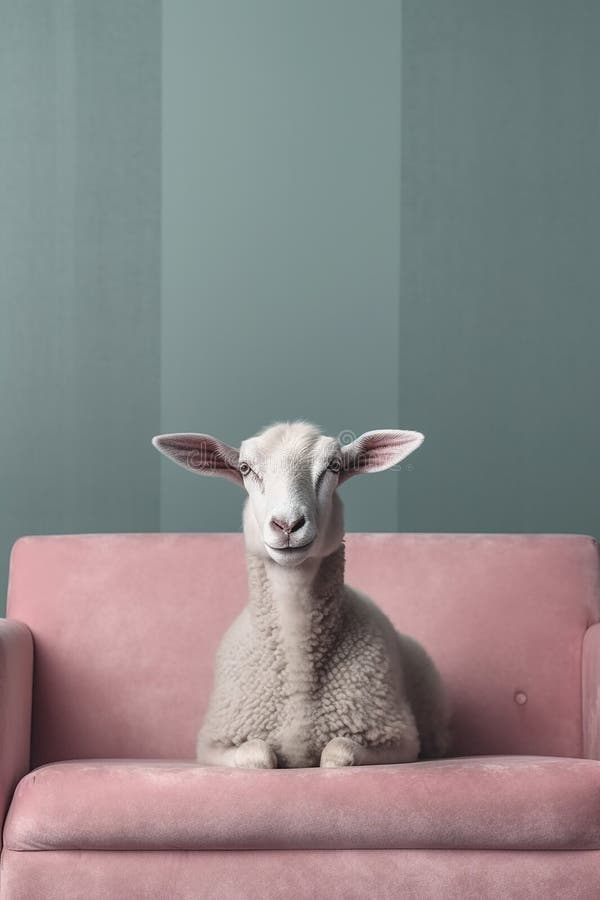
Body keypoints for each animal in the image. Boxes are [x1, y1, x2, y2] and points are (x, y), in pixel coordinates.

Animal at [153, 421, 450, 768]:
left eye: (334, 466)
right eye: (245, 468)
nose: (287, 524)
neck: (297, 675)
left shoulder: (399, 739)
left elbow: (337, 753)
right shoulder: (212, 744)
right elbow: (259, 755)